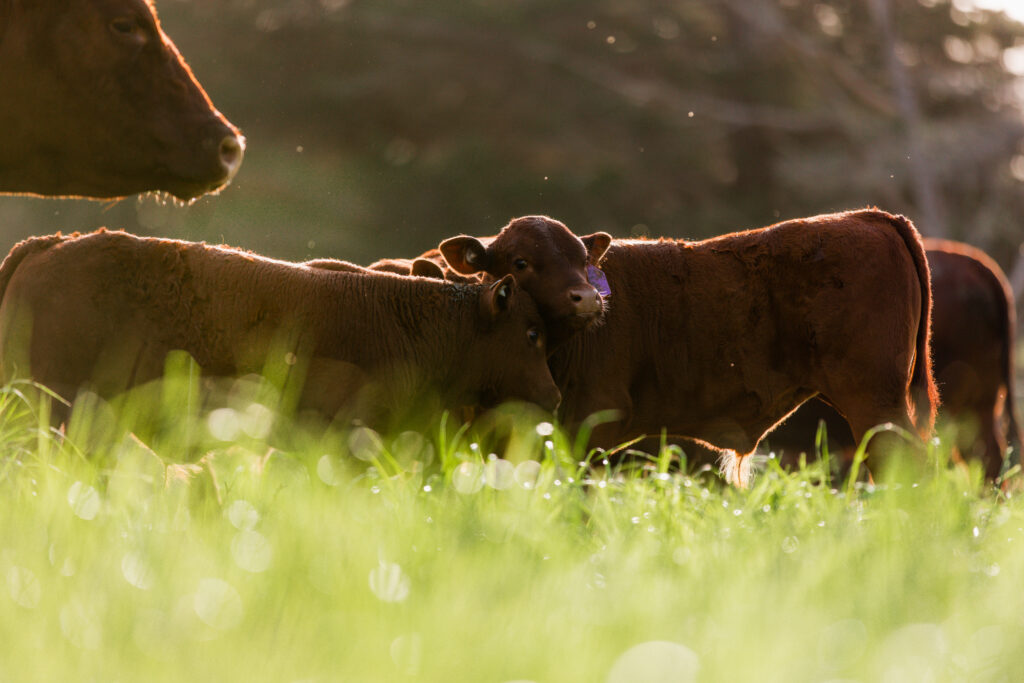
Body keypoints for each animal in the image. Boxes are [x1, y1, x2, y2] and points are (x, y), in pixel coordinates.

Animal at [425, 209, 937, 486]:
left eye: (582, 259)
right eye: (520, 261)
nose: (587, 297)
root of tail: (868, 216)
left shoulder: (593, 423)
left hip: (874, 399)